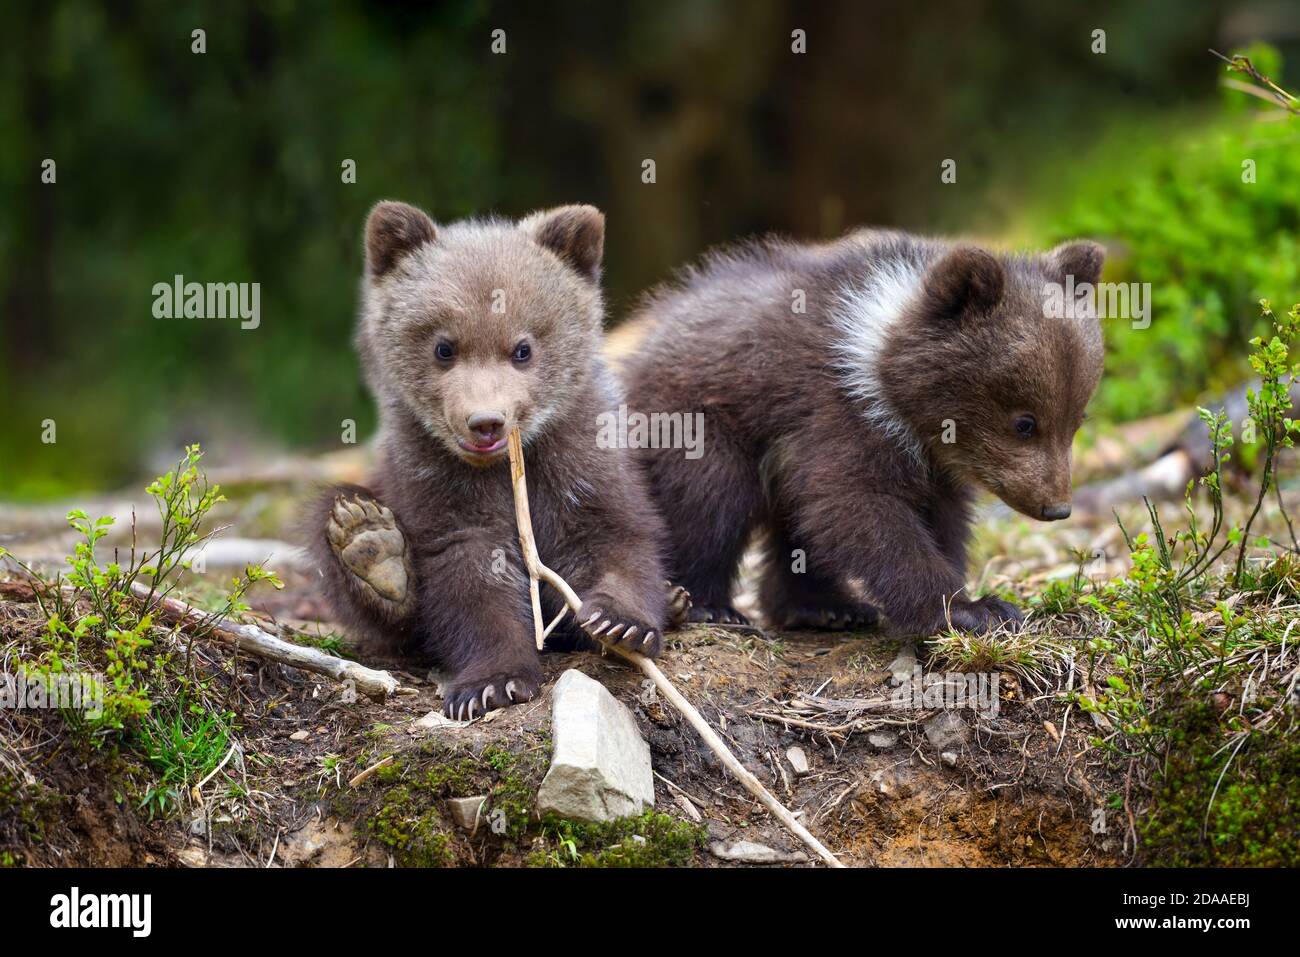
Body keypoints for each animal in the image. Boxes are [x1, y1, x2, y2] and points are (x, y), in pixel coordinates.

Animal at [307, 201, 685, 718]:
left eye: (523, 349)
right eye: (444, 347)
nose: (485, 421)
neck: (506, 469)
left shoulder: (582, 461)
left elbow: (614, 539)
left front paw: (622, 621)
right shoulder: (433, 479)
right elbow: (470, 578)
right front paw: (492, 682)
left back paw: (677, 598)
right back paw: (371, 546)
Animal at [619, 228, 1105, 635]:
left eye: (1076, 418)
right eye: (1025, 422)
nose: (1056, 507)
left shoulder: (934, 463)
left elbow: (940, 520)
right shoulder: (841, 411)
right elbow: (860, 506)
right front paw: (973, 609)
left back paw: (828, 607)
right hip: (700, 416)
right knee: (712, 501)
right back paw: (707, 604)